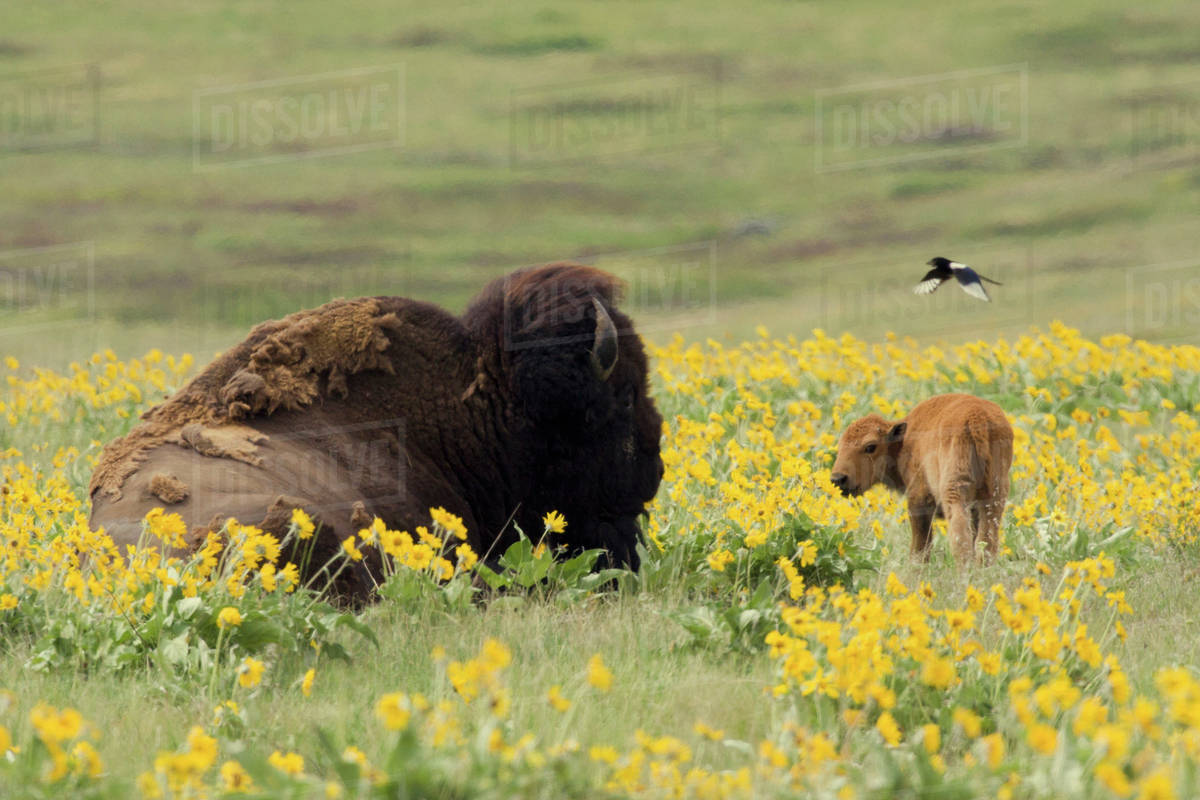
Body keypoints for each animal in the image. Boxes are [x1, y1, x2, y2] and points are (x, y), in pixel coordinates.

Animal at [830, 393, 1013, 564]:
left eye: (870, 447)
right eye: (840, 446)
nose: (838, 479)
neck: (903, 442)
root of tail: (977, 419)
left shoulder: (918, 501)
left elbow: (919, 547)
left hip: (955, 490)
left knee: (961, 537)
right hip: (994, 496)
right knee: (987, 542)